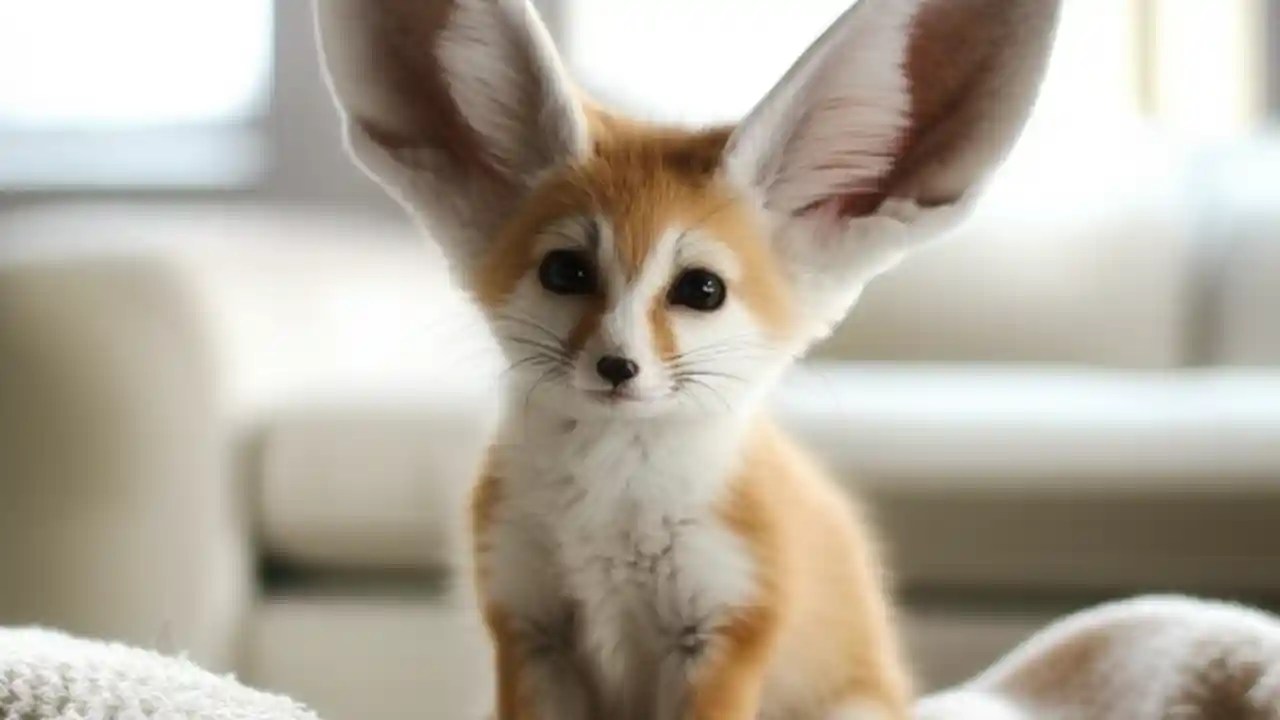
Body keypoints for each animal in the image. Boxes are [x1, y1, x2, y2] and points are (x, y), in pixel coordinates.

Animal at [316, 0, 1058, 718]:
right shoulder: (528, 619)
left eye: (702, 290)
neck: (609, 525)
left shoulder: (725, 623)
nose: (617, 366)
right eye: (565, 272)